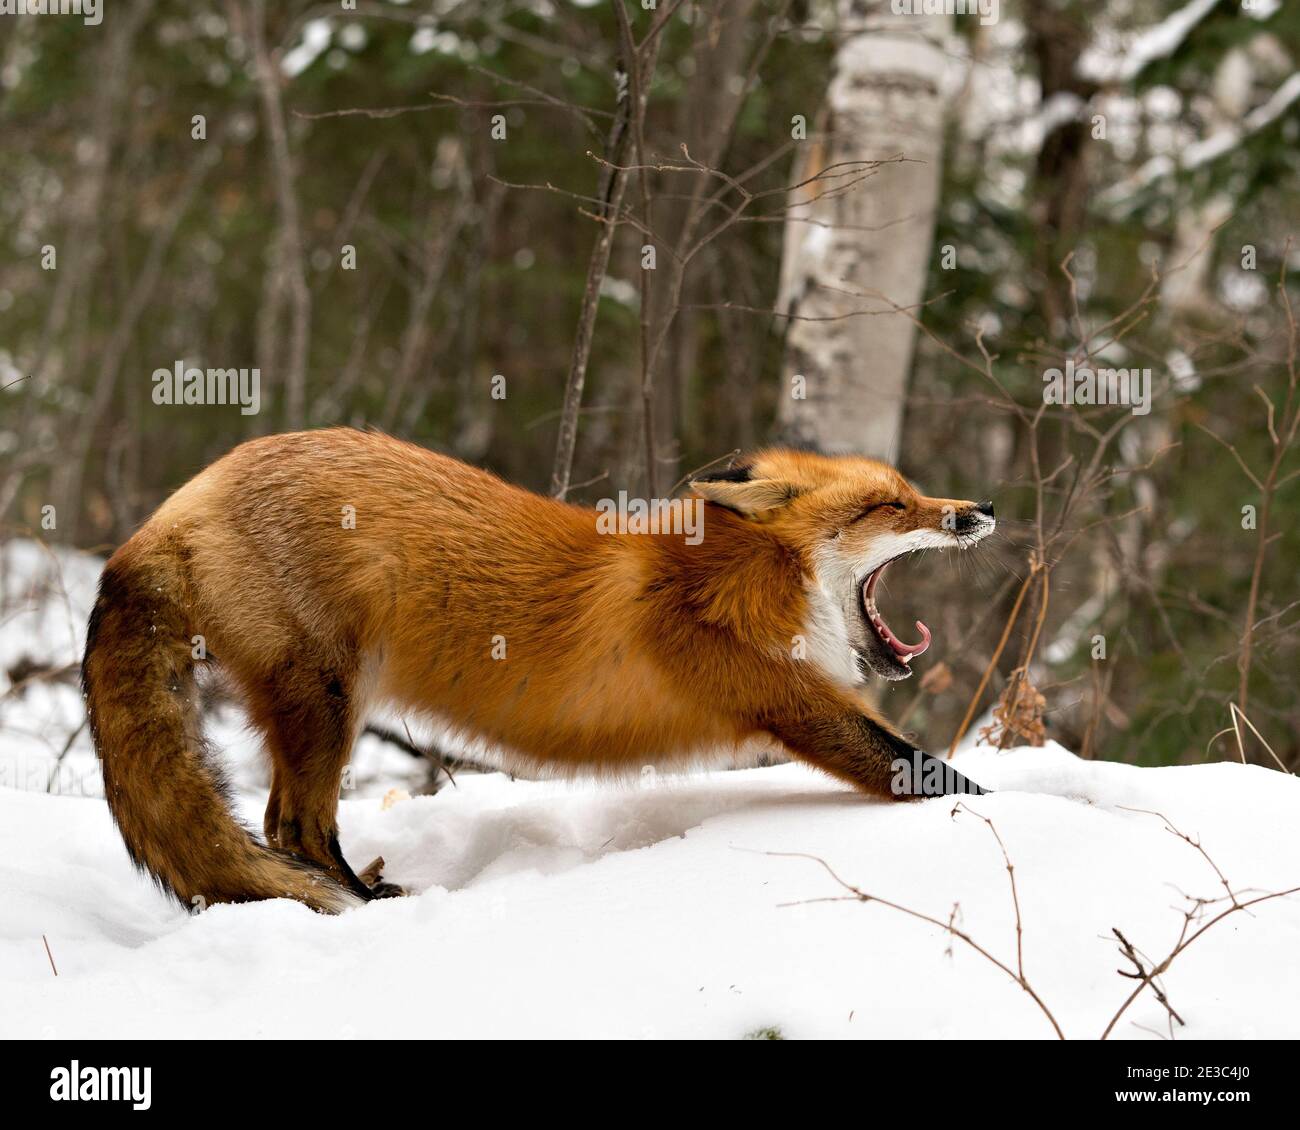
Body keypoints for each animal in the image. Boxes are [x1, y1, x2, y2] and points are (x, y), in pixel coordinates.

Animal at [82, 427, 996, 913]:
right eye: (890, 506)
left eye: (912, 490)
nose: (982, 508)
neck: (738, 579)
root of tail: (179, 502)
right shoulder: (787, 700)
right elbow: (928, 775)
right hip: (327, 701)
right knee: (293, 829)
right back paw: (372, 906)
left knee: (283, 828)